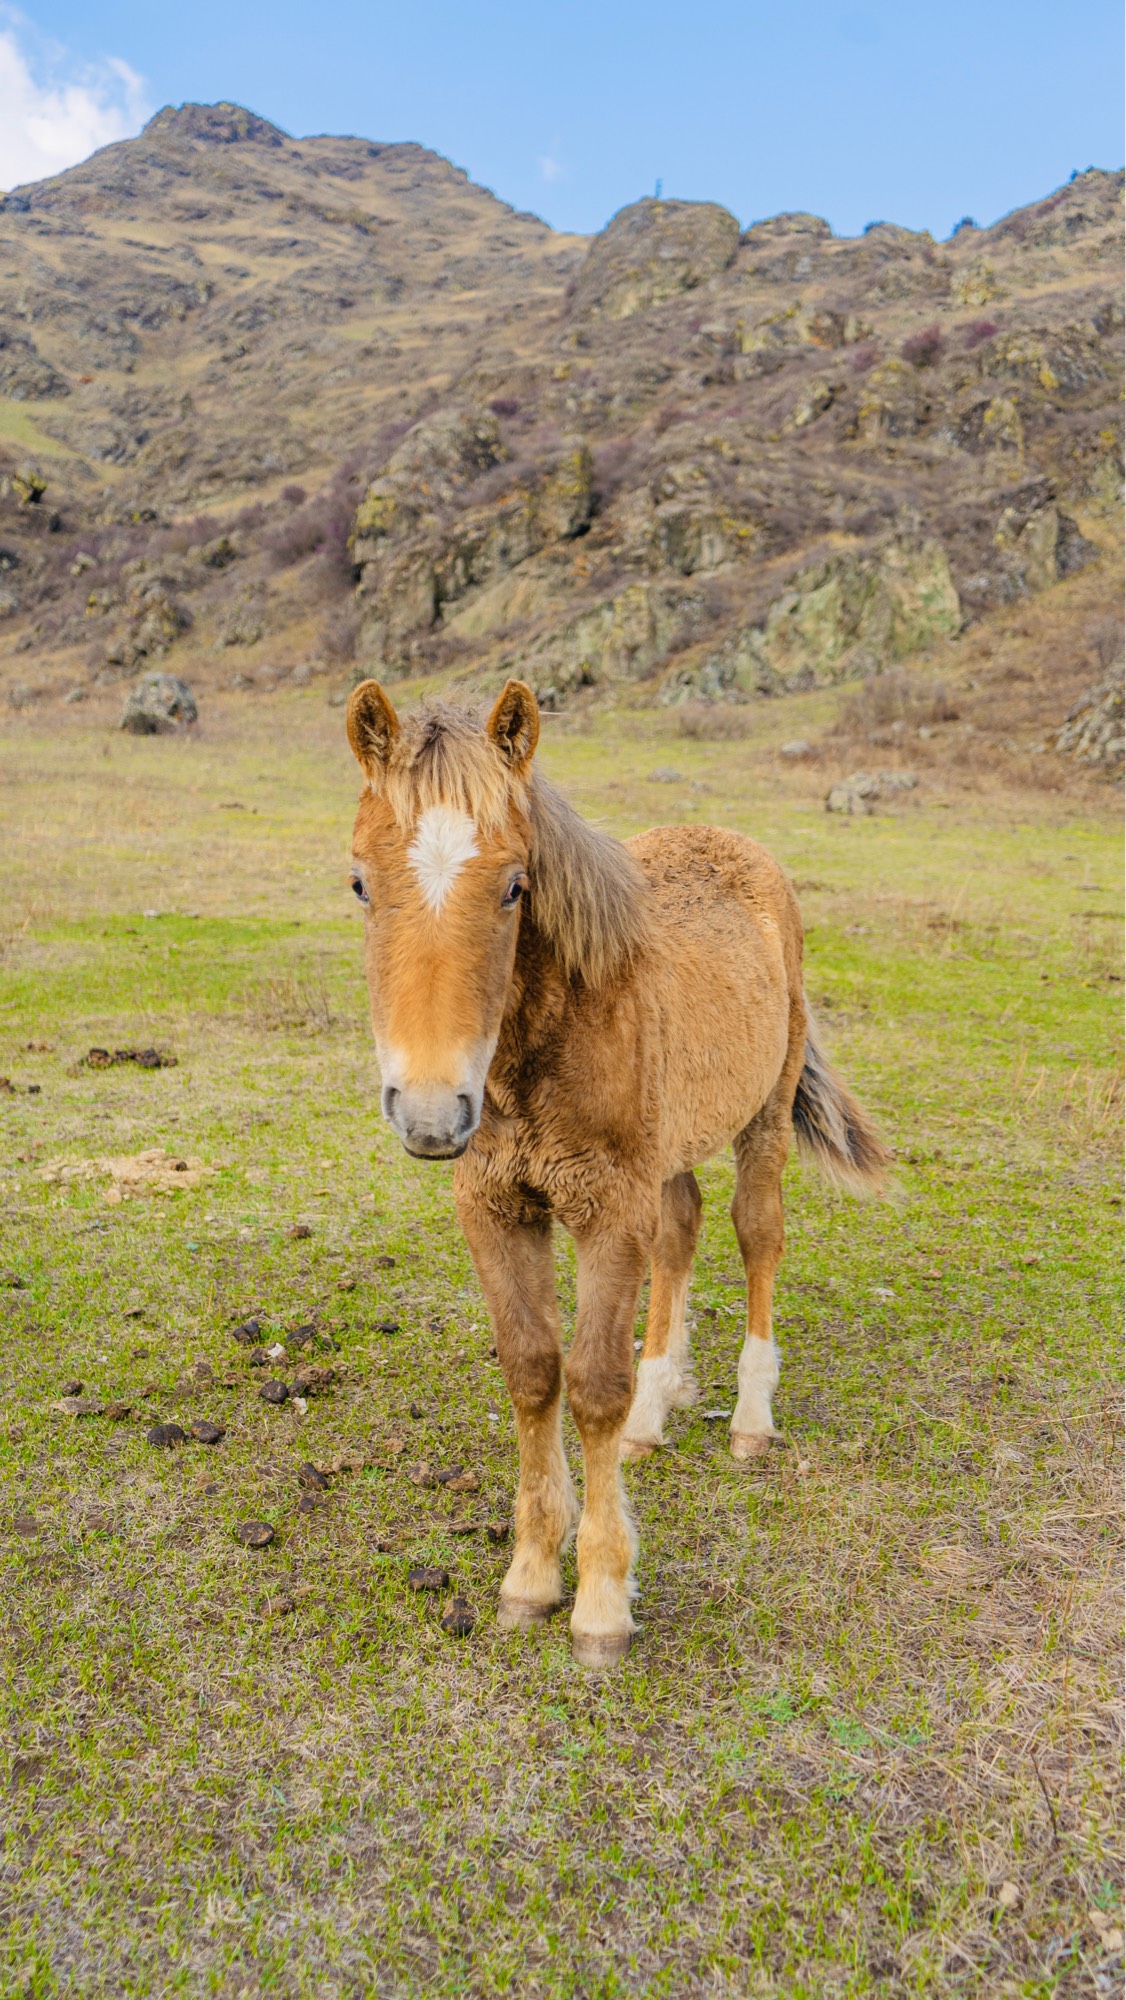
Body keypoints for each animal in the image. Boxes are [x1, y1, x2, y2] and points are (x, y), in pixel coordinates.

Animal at [346, 680, 892, 1664]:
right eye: (362, 882)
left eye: (515, 885)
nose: (432, 1112)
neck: (541, 1050)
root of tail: (740, 849)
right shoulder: (498, 1208)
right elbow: (533, 1372)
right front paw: (530, 1577)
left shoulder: (608, 1212)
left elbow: (594, 1385)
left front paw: (601, 1603)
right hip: (668, 1154)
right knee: (683, 1231)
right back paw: (655, 1414)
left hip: (761, 1117)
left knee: (756, 1235)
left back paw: (750, 1420)